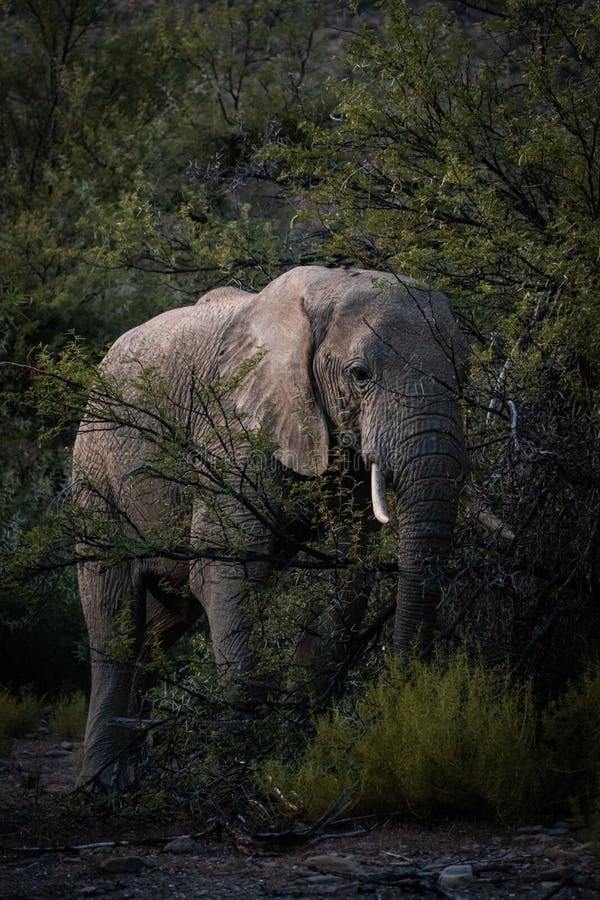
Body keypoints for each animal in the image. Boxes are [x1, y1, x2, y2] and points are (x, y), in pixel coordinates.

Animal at [72, 265, 468, 788]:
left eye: (464, 375)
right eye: (359, 375)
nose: (405, 699)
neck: (328, 289)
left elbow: (344, 572)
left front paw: (298, 746)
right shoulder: (233, 429)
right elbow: (225, 570)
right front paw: (242, 762)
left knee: (163, 619)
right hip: (96, 467)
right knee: (113, 611)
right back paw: (99, 786)